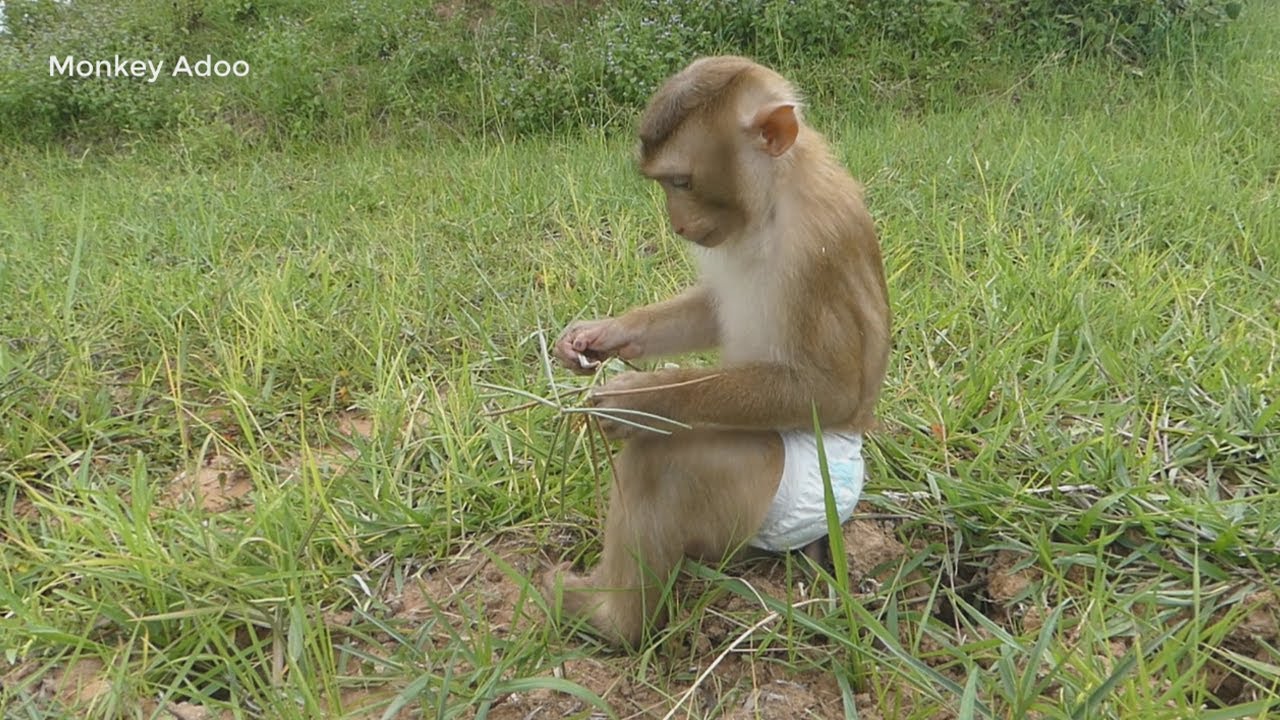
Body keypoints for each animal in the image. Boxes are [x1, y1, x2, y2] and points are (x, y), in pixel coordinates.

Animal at [544, 56, 891, 646]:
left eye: (681, 181)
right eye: (666, 185)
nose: (678, 223)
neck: (774, 200)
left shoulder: (816, 246)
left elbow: (834, 390)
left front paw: (640, 398)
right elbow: (711, 311)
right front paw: (600, 335)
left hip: (791, 497)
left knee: (665, 461)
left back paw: (613, 621)